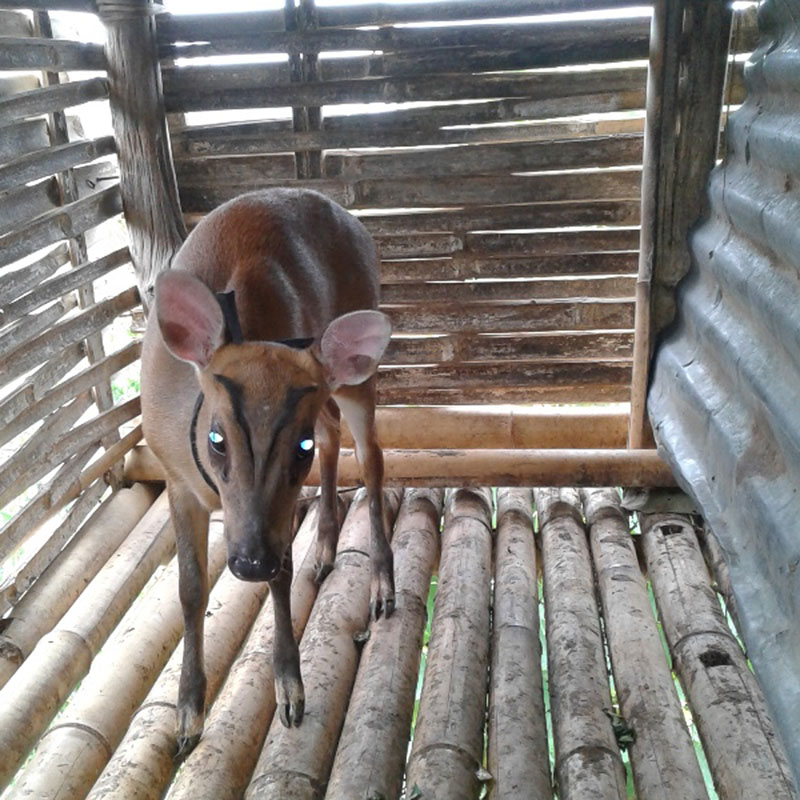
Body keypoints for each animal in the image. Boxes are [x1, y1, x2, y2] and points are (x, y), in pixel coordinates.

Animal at [140, 188, 394, 754]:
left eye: (296, 448)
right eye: (215, 438)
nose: (249, 562)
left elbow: (282, 576)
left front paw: (290, 688)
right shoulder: (174, 478)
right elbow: (190, 587)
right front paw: (187, 713)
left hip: (356, 374)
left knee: (370, 455)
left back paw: (382, 585)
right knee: (333, 433)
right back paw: (323, 551)